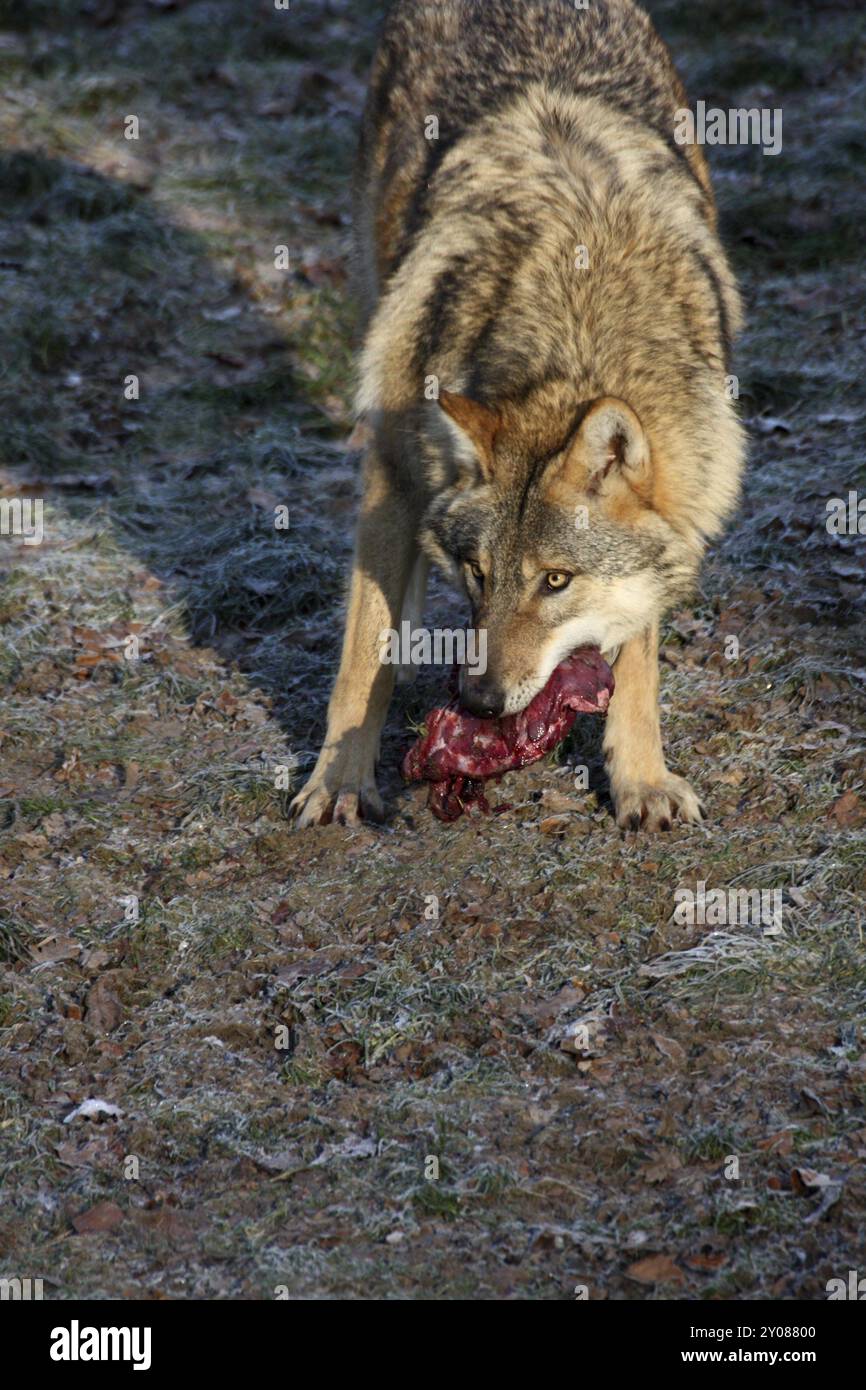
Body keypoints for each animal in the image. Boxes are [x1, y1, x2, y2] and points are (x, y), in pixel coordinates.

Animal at [290, 0, 745, 831]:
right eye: (478, 572)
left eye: (556, 581)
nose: (478, 699)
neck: (578, 319)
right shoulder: (394, 465)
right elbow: (362, 653)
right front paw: (338, 781)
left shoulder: (671, 510)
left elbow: (638, 658)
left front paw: (641, 779)